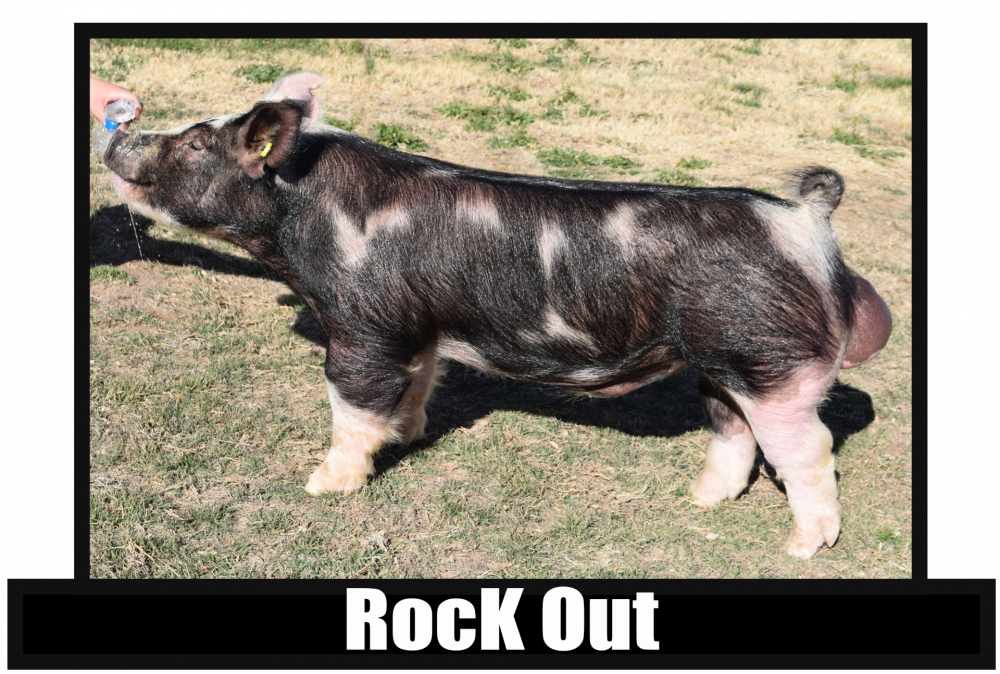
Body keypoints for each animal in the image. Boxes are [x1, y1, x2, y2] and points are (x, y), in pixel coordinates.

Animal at [104, 71, 892, 558]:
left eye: (197, 143)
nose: (118, 132)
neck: (306, 219)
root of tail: (803, 219)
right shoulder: (418, 326)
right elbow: (419, 384)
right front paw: (408, 435)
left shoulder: (363, 324)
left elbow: (351, 405)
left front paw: (322, 485)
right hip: (723, 360)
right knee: (734, 431)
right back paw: (699, 502)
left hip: (772, 361)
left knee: (810, 450)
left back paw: (803, 547)